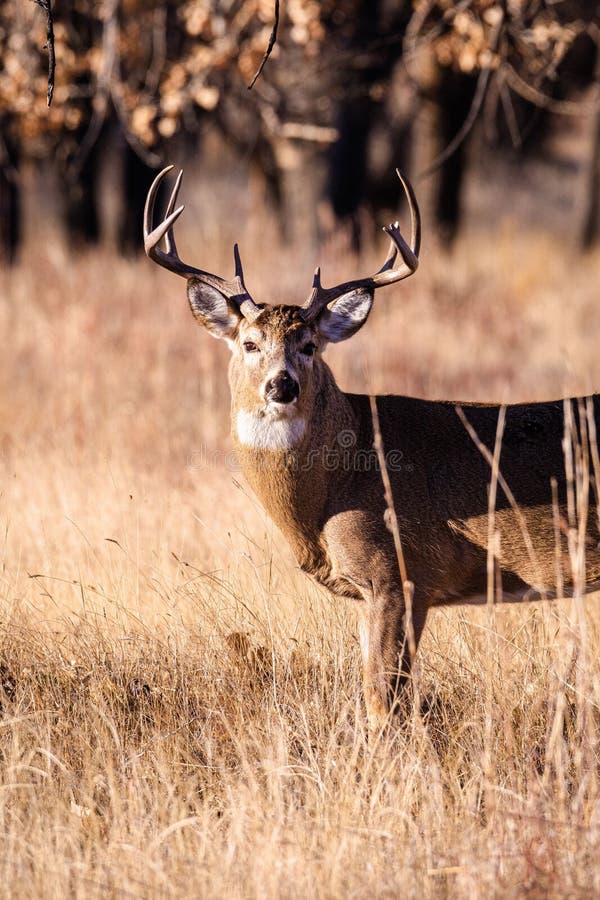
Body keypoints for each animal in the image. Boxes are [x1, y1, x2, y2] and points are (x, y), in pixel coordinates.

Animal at [144, 165, 600, 730]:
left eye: (310, 345)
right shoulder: (368, 591)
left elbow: (384, 701)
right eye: (249, 344)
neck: (338, 487)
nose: (282, 385)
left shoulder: (399, 573)